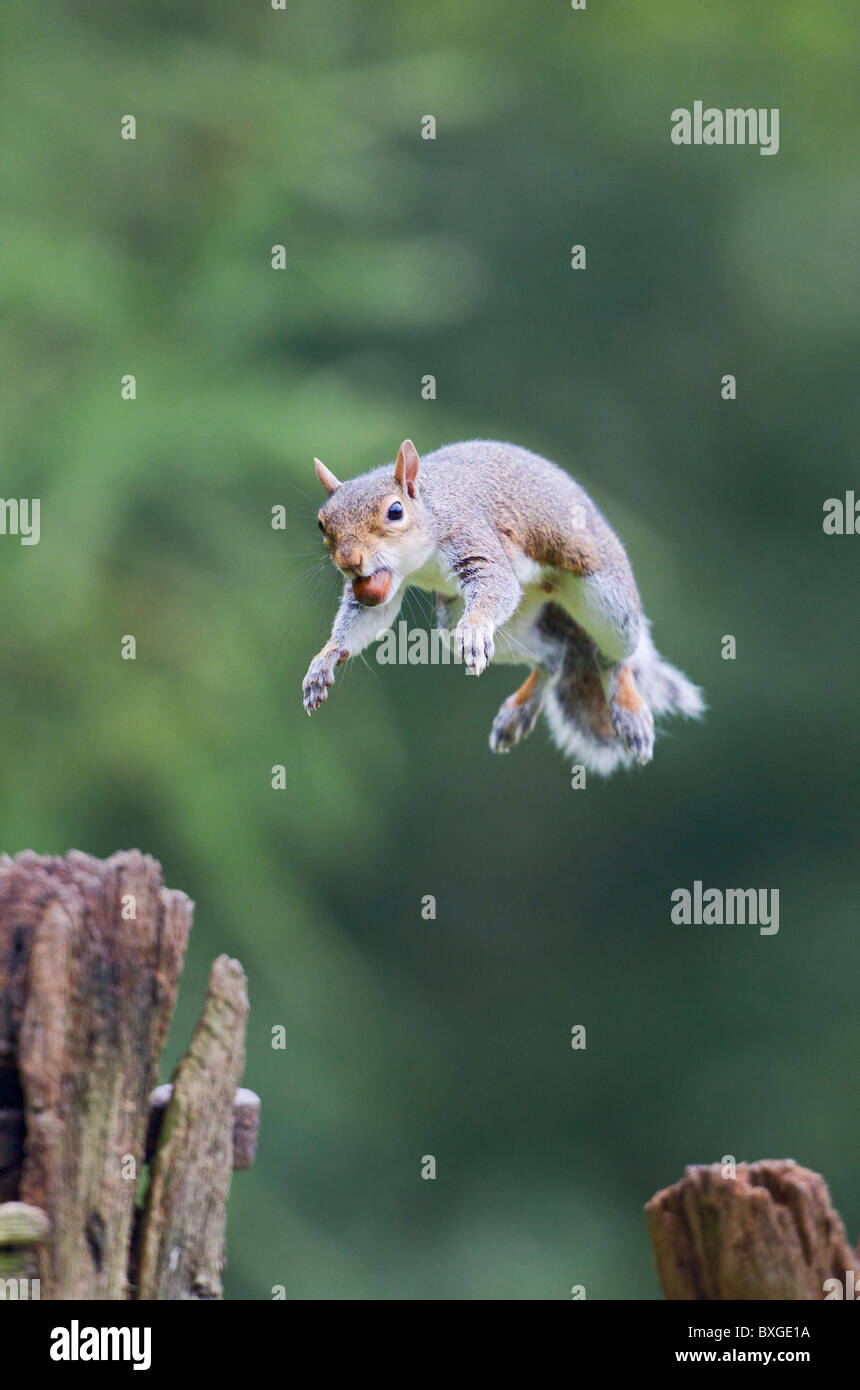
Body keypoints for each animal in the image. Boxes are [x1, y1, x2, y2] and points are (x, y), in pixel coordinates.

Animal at [302, 439, 704, 772]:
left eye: (395, 511)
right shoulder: (377, 590)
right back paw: (520, 710)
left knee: (613, 659)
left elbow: (495, 584)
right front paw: (324, 660)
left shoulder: (472, 536)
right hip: (483, 619)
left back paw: (629, 711)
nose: (350, 561)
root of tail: (553, 593)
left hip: (609, 602)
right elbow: (367, 617)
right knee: (553, 655)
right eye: (322, 524)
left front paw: (476, 627)